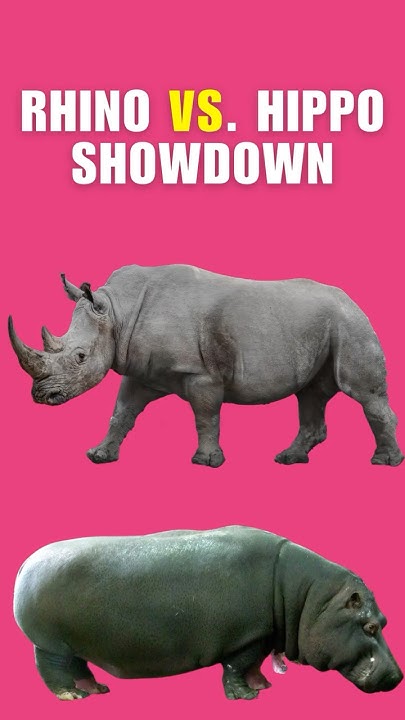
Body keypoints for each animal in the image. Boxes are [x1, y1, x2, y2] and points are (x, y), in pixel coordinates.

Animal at [8, 264, 403, 467]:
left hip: (349, 324)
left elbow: (206, 415)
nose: (41, 396)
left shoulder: (200, 372)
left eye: (80, 357)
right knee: (310, 394)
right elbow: (121, 413)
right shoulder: (141, 371)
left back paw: (385, 462)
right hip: (322, 325)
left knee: (361, 392)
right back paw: (289, 458)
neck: (117, 311)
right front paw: (99, 455)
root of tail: (351, 299)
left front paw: (207, 461)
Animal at [14, 526, 403, 701]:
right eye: (369, 626)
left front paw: (263, 685)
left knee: (78, 667)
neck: (310, 597)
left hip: (72, 645)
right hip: (51, 643)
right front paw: (247, 696)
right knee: (52, 670)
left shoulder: (263, 636)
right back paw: (73, 696)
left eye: (384, 621)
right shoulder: (249, 636)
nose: (397, 676)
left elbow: (254, 665)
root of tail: (26, 564)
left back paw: (97, 689)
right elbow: (238, 665)